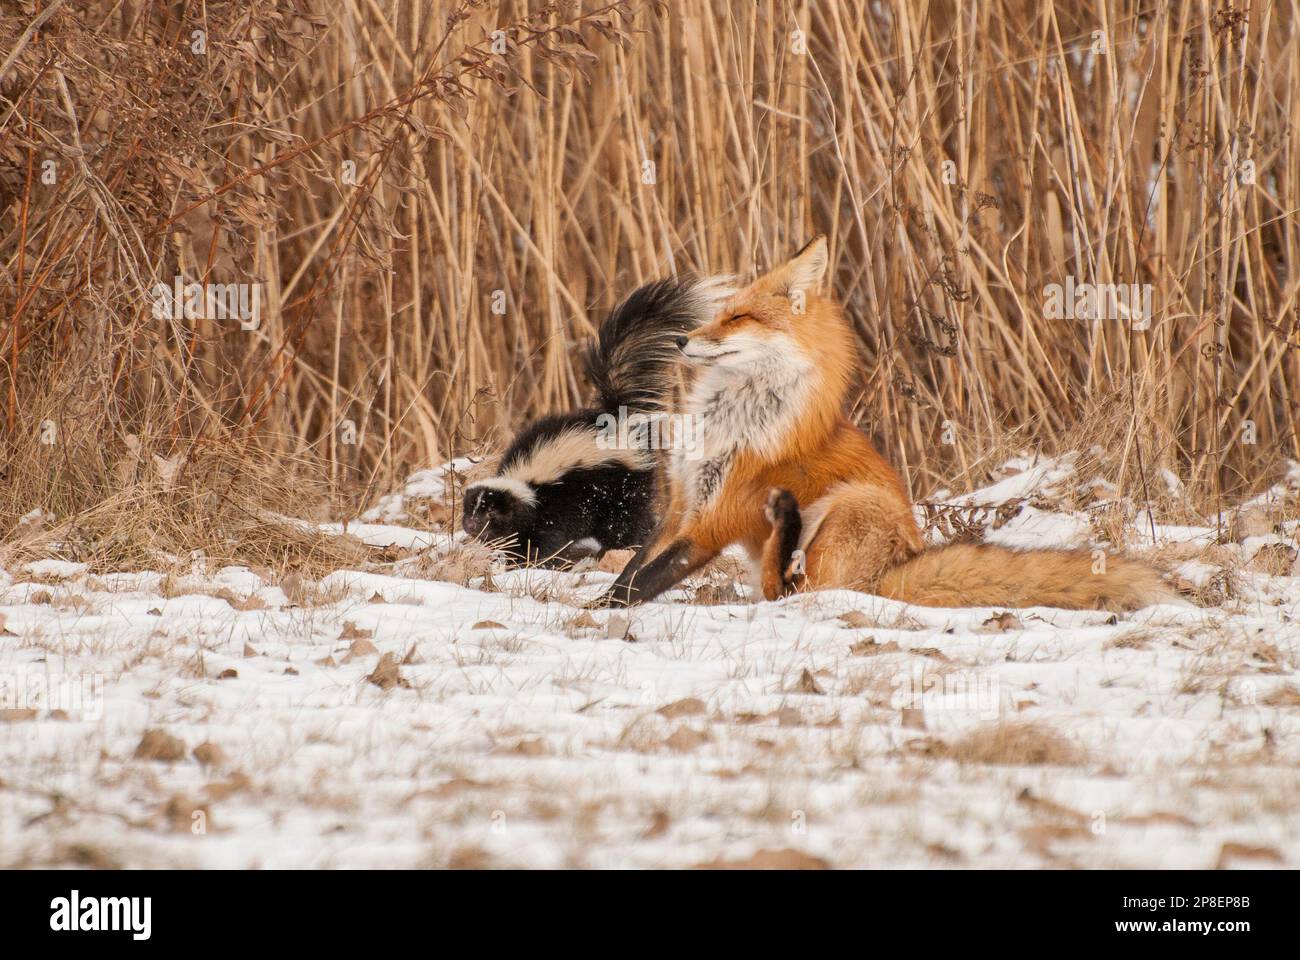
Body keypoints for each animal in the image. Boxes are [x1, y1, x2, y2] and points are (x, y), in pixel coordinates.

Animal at [596, 236, 1179, 611]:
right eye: (719, 313)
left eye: (738, 318)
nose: (680, 340)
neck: (727, 419)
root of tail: (895, 572)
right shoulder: (681, 502)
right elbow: (633, 569)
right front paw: (597, 604)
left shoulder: (715, 519)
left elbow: (641, 584)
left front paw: (601, 615)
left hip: (853, 506)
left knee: (795, 592)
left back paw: (788, 524)